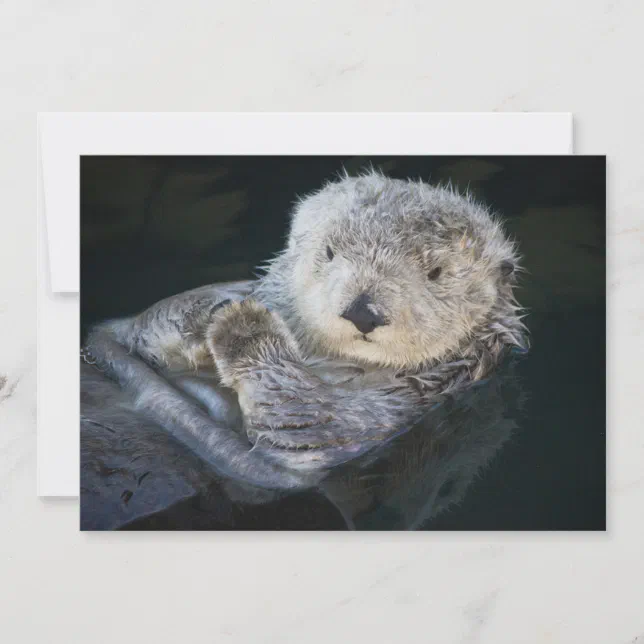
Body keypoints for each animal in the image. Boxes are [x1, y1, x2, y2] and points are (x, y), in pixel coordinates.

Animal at [83, 171, 527, 492]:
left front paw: (244, 326)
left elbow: (304, 421)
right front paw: (210, 309)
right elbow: (143, 330)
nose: (363, 312)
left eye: (435, 273)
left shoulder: (389, 410)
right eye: (329, 252)